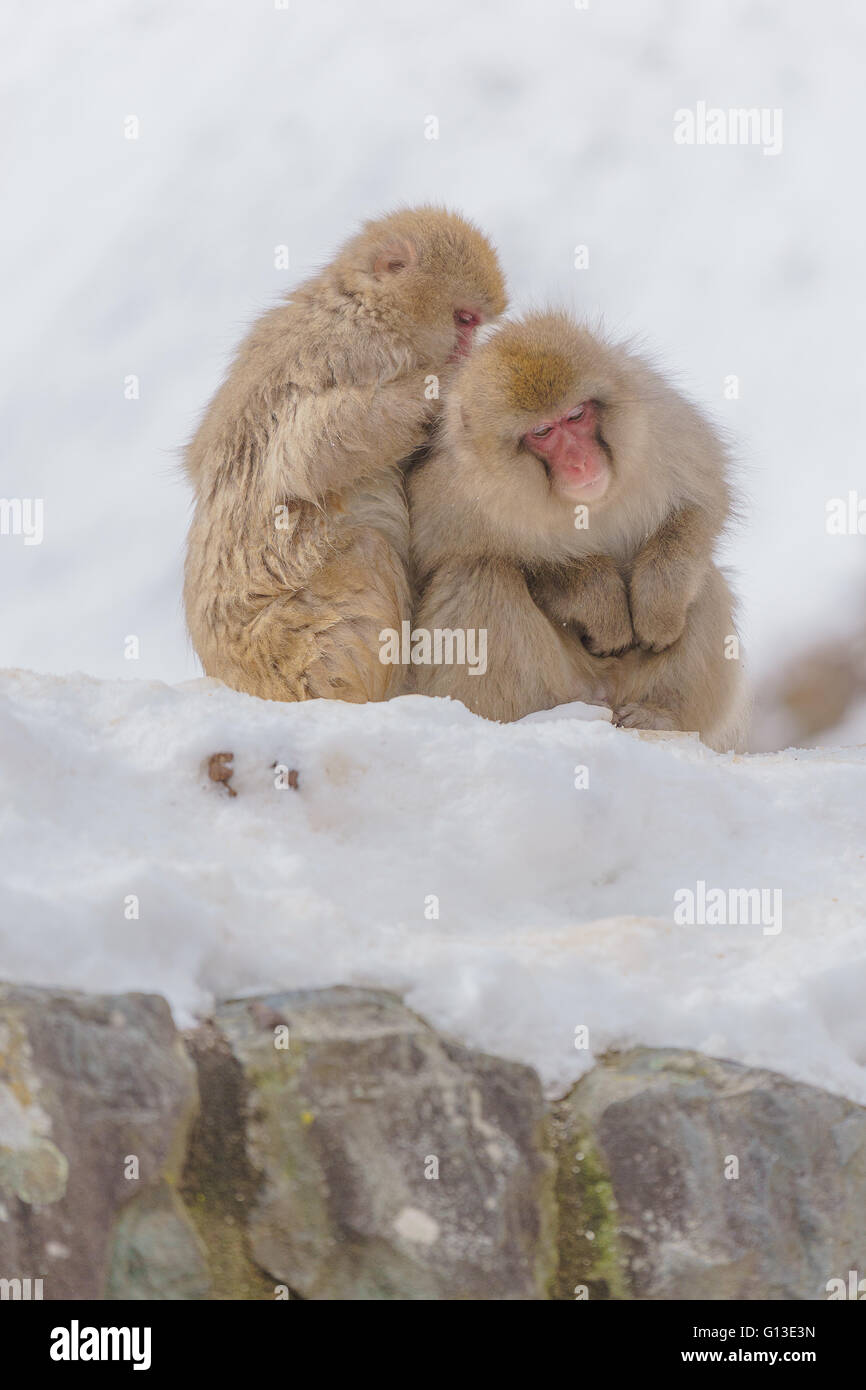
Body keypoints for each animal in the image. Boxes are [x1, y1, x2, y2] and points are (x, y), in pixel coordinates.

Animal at [183, 206, 507, 704]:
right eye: (466, 319)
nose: (468, 349)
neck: (367, 307)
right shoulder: (357, 348)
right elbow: (310, 448)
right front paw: (447, 383)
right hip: (294, 649)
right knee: (367, 548)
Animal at [408, 312, 749, 751]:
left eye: (575, 416)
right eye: (542, 432)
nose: (580, 461)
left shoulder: (658, 418)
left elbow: (701, 503)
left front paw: (657, 602)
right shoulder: (449, 490)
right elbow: (440, 559)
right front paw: (597, 598)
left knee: (702, 578)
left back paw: (658, 713)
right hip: (570, 682)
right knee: (477, 573)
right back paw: (531, 721)